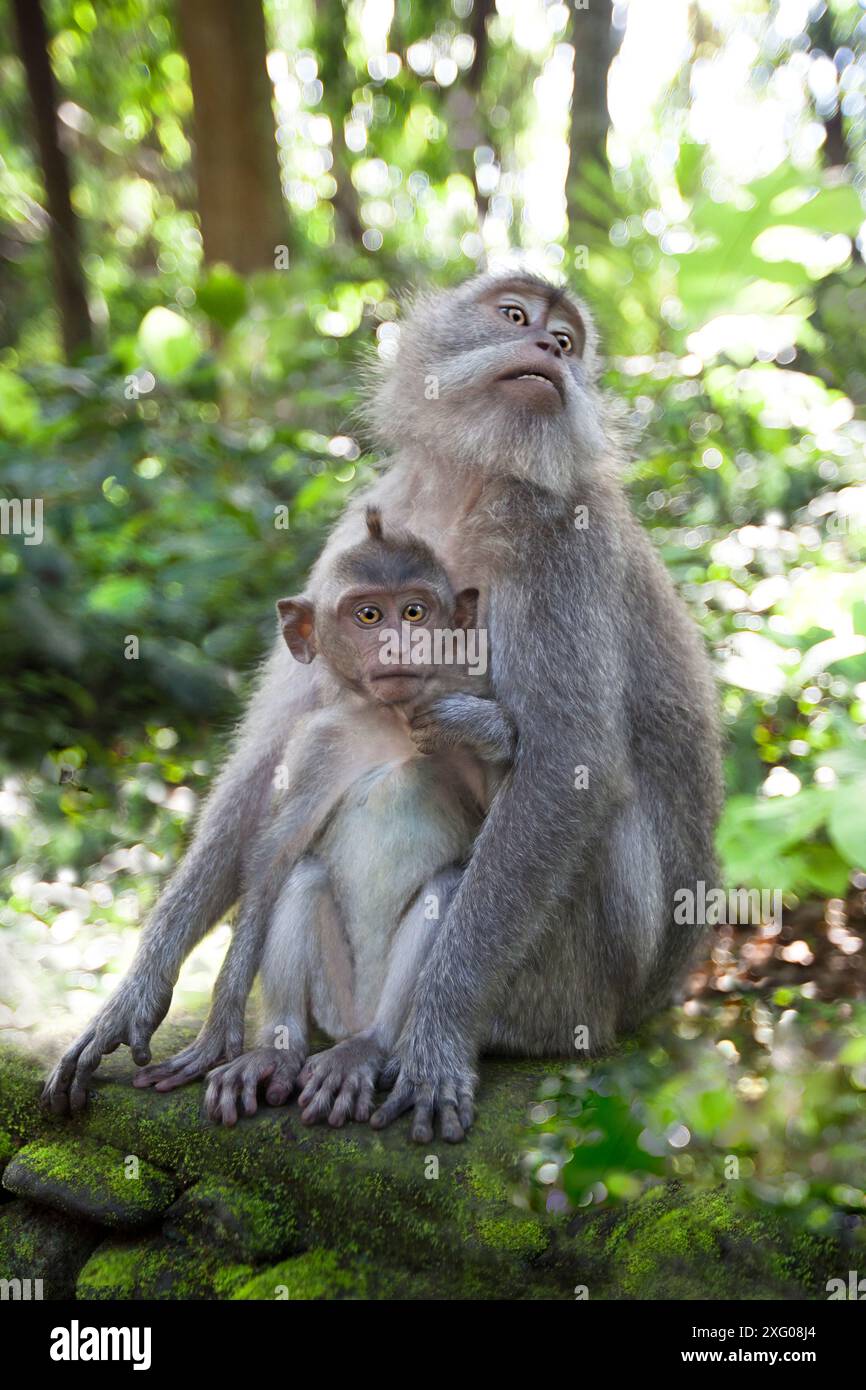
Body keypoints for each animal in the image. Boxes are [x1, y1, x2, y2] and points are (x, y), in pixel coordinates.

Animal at [132, 508, 515, 1136]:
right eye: (368, 615)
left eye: (415, 611)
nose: (398, 643)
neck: (390, 722)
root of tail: (352, 1020)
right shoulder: (317, 742)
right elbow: (274, 855)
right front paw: (221, 1021)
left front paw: (484, 725)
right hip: (332, 1001)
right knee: (305, 876)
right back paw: (277, 1050)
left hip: (376, 1007)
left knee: (445, 887)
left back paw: (370, 1049)